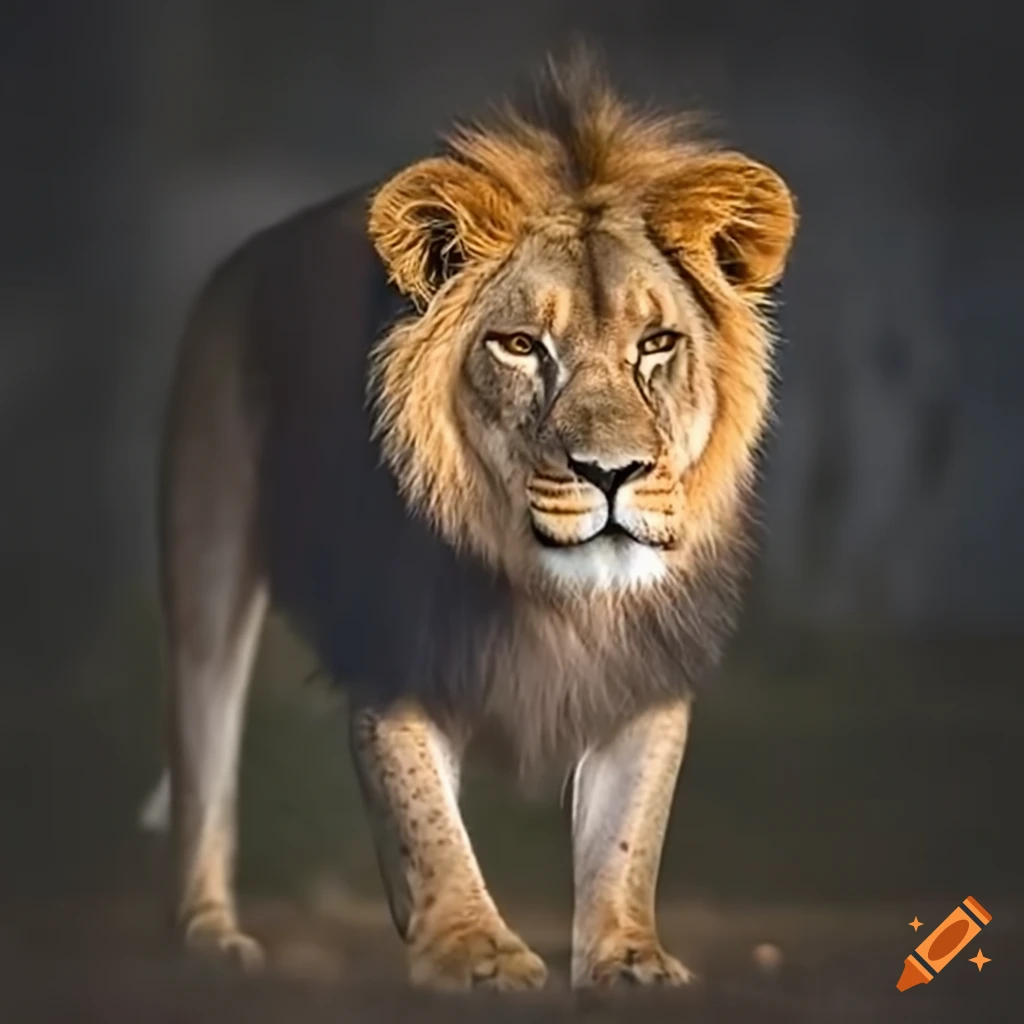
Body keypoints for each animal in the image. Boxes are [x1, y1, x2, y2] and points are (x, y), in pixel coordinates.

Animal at [143, 54, 797, 992]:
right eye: (521, 346)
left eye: (657, 344)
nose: (612, 474)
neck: (558, 594)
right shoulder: (397, 662)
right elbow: (429, 828)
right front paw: (474, 951)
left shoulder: (647, 676)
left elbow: (628, 836)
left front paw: (628, 958)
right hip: (206, 570)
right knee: (204, 762)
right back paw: (210, 940)